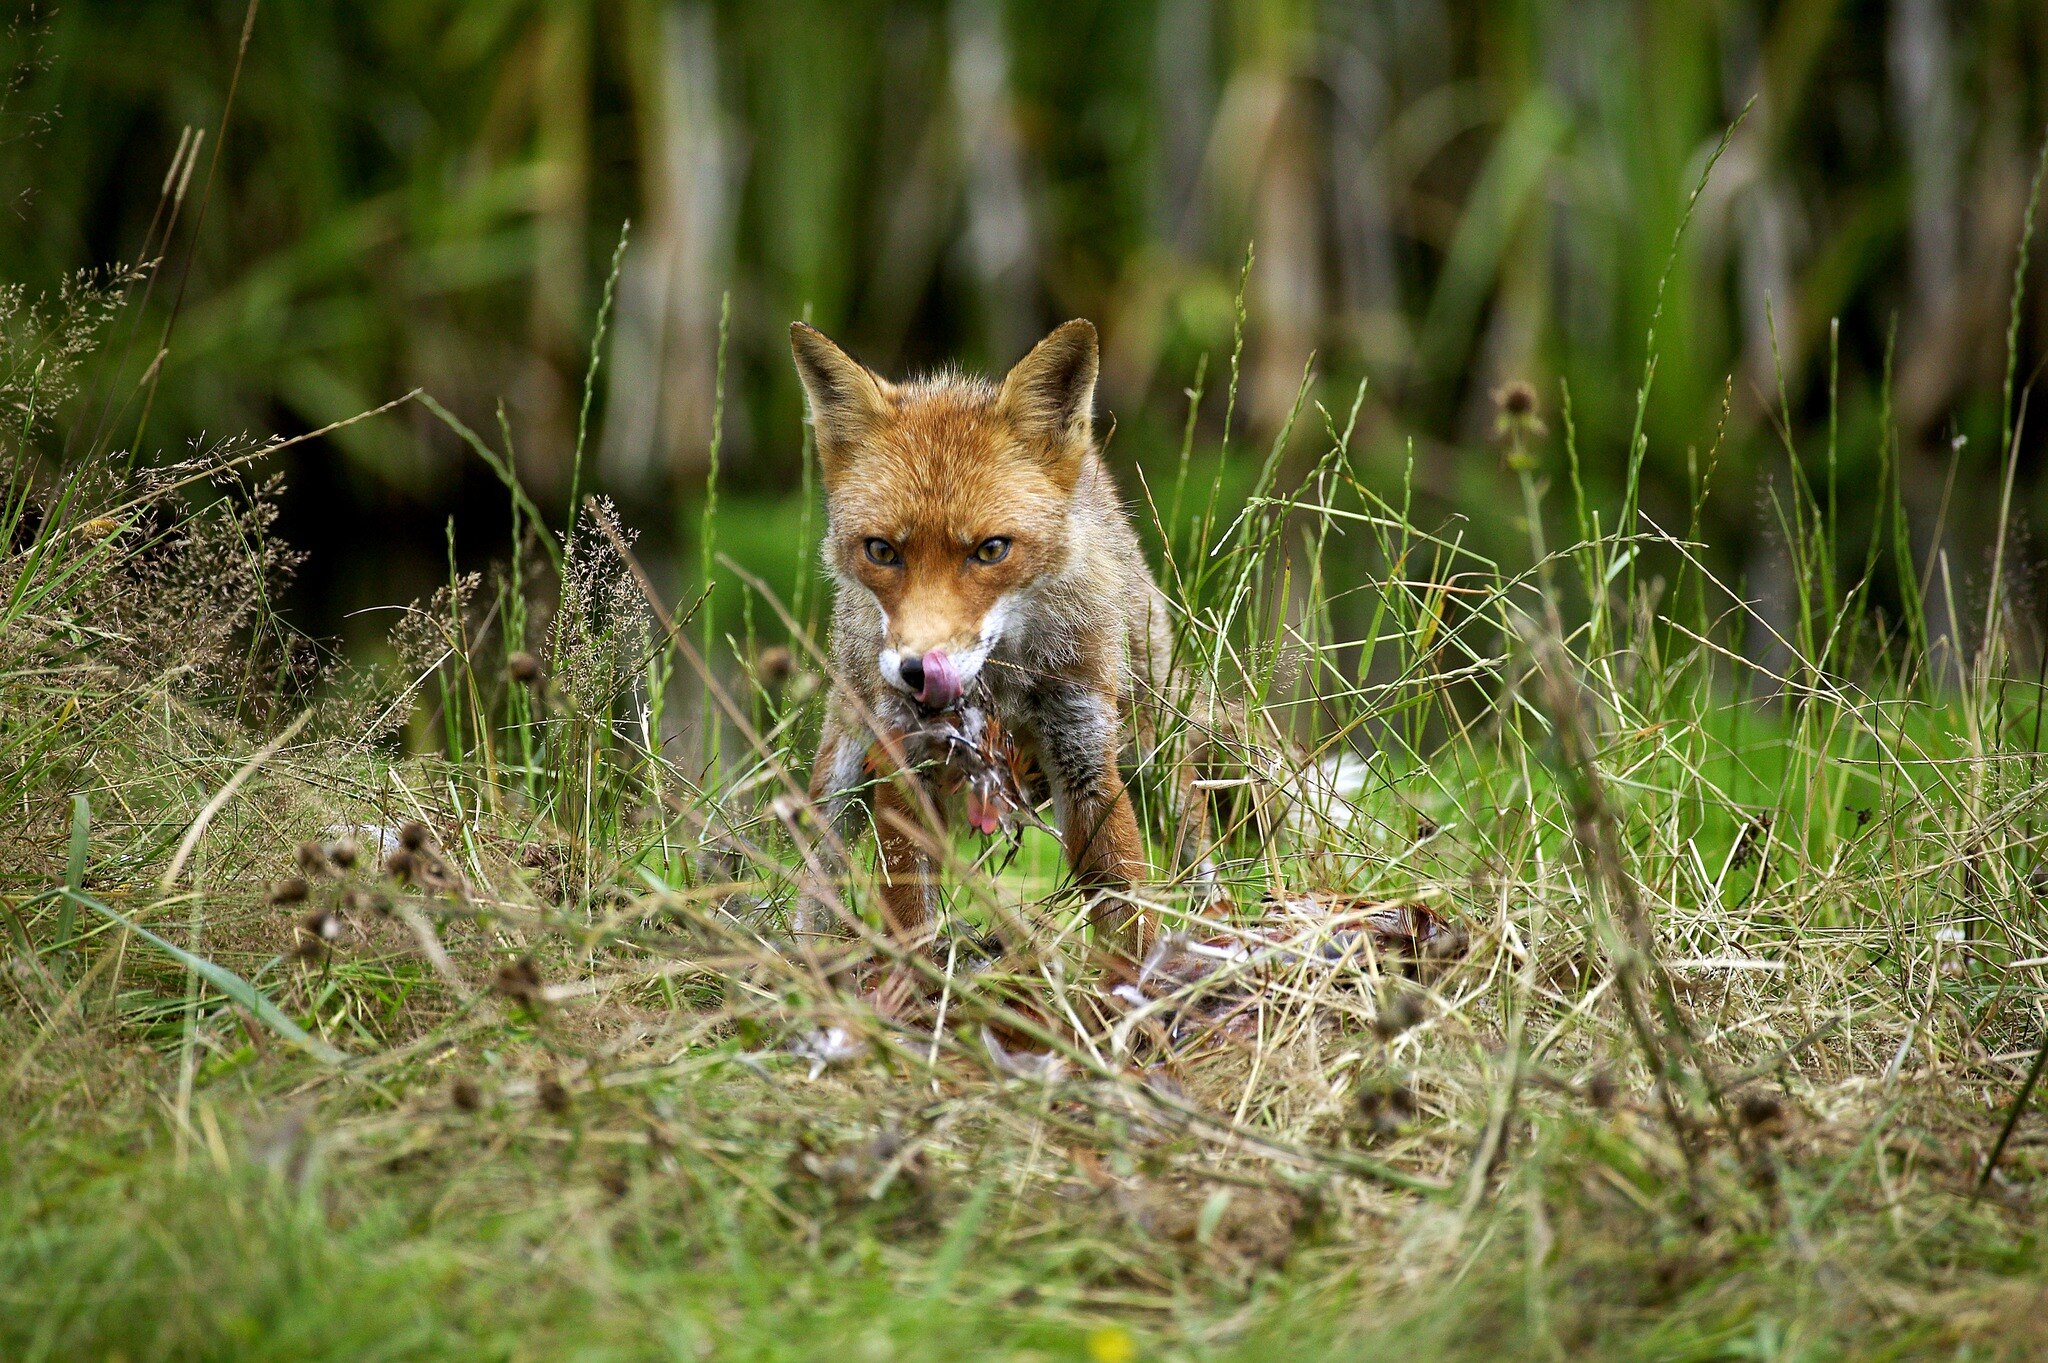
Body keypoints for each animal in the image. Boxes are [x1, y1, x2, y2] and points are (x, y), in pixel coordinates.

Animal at [790, 318, 1204, 968]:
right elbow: (909, 915)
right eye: (882, 550)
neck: (1000, 681)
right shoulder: (906, 766)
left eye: (991, 550)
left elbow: (1123, 908)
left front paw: (1139, 987)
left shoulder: (1083, 752)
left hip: (1153, 741)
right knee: (817, 882)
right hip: (843, 769)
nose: (917, 670)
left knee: (1198, 836)